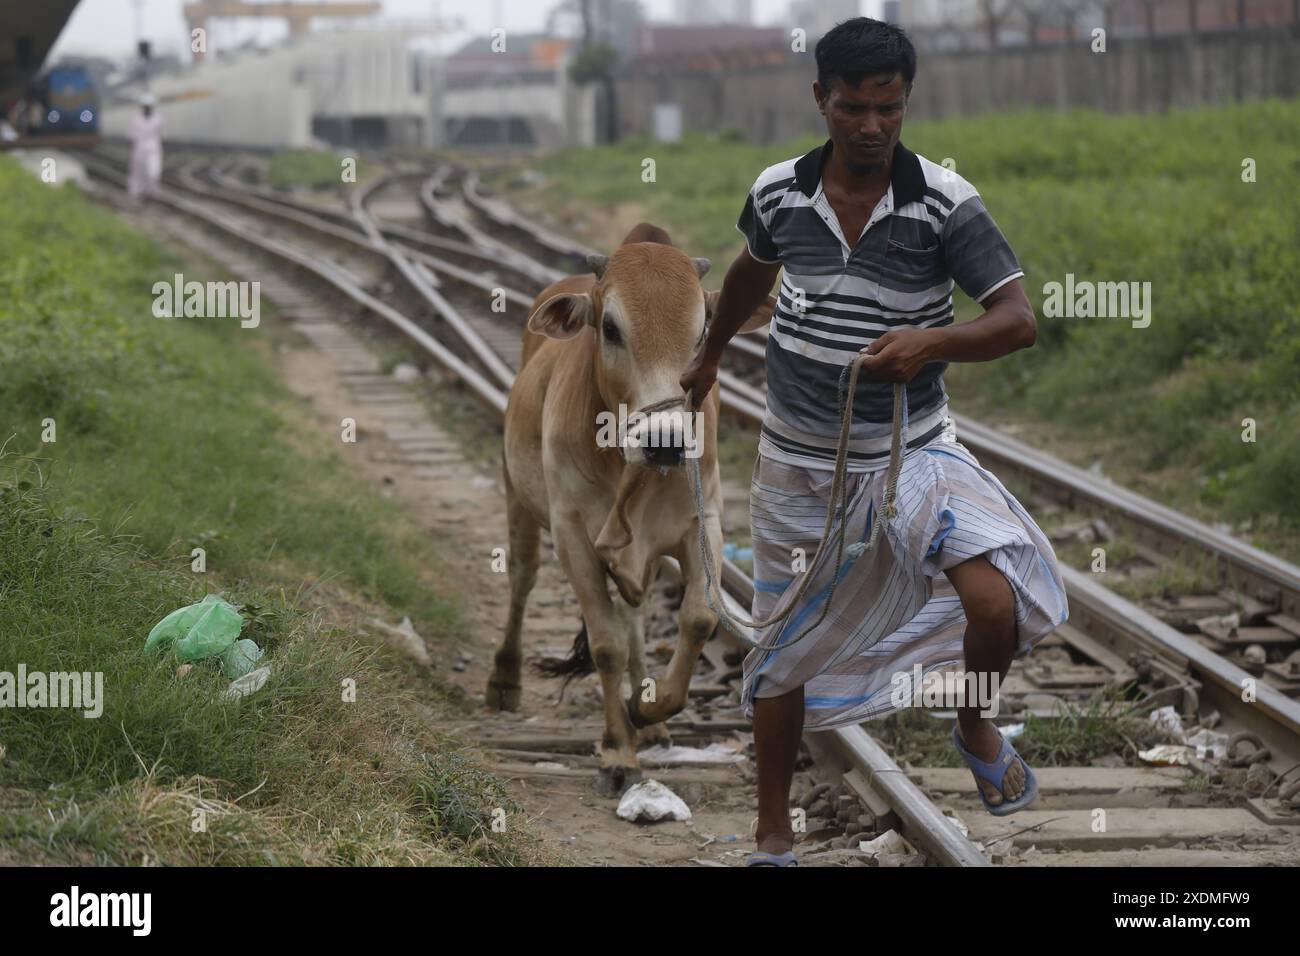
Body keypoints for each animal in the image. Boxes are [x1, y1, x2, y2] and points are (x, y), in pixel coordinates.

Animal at [487, 222, 772, 795]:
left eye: (703, 331)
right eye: (611, 328)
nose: (666, 442)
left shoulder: (701, 523)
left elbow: (698, 619)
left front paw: (650, 710)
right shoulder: (573, 536)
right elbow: (606, 646)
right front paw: (618, 751)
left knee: (638, 617)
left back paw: (652, 720)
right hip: (518, 496)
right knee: (523, 580)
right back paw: (505, 678)